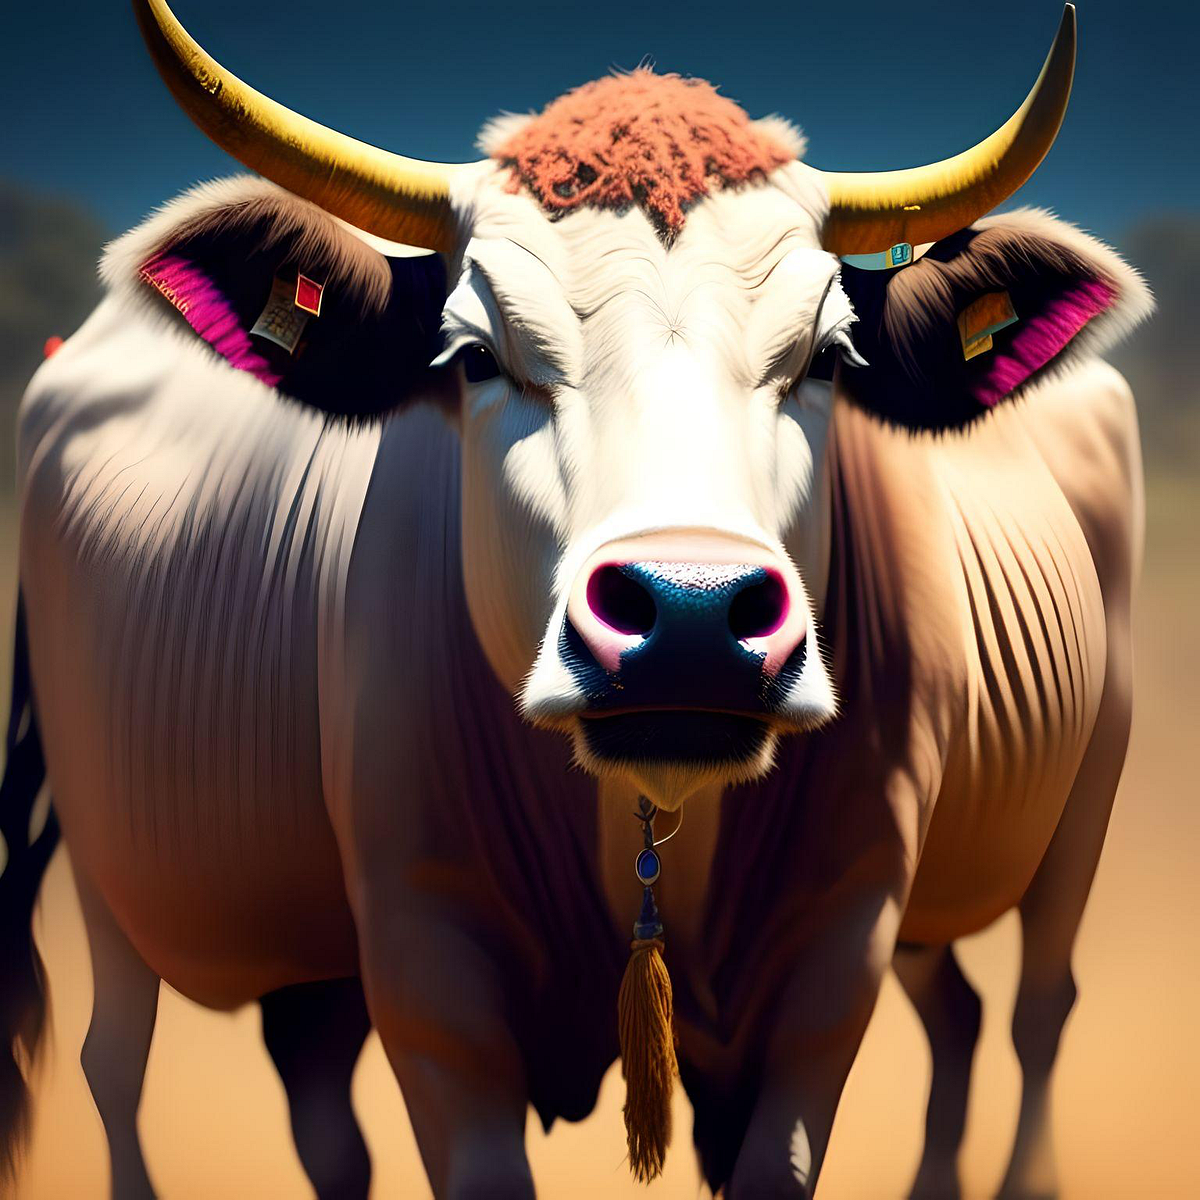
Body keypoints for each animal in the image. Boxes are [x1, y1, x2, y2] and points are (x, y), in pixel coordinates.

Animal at [0, 1, 1152, 1196]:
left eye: (831, 357)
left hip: (1088, 792)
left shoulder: (846, 939)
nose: (691, 621)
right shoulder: (425, 964)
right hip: (108, 865)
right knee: (120, 1065)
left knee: (1026, 1009)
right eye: (472, 356)